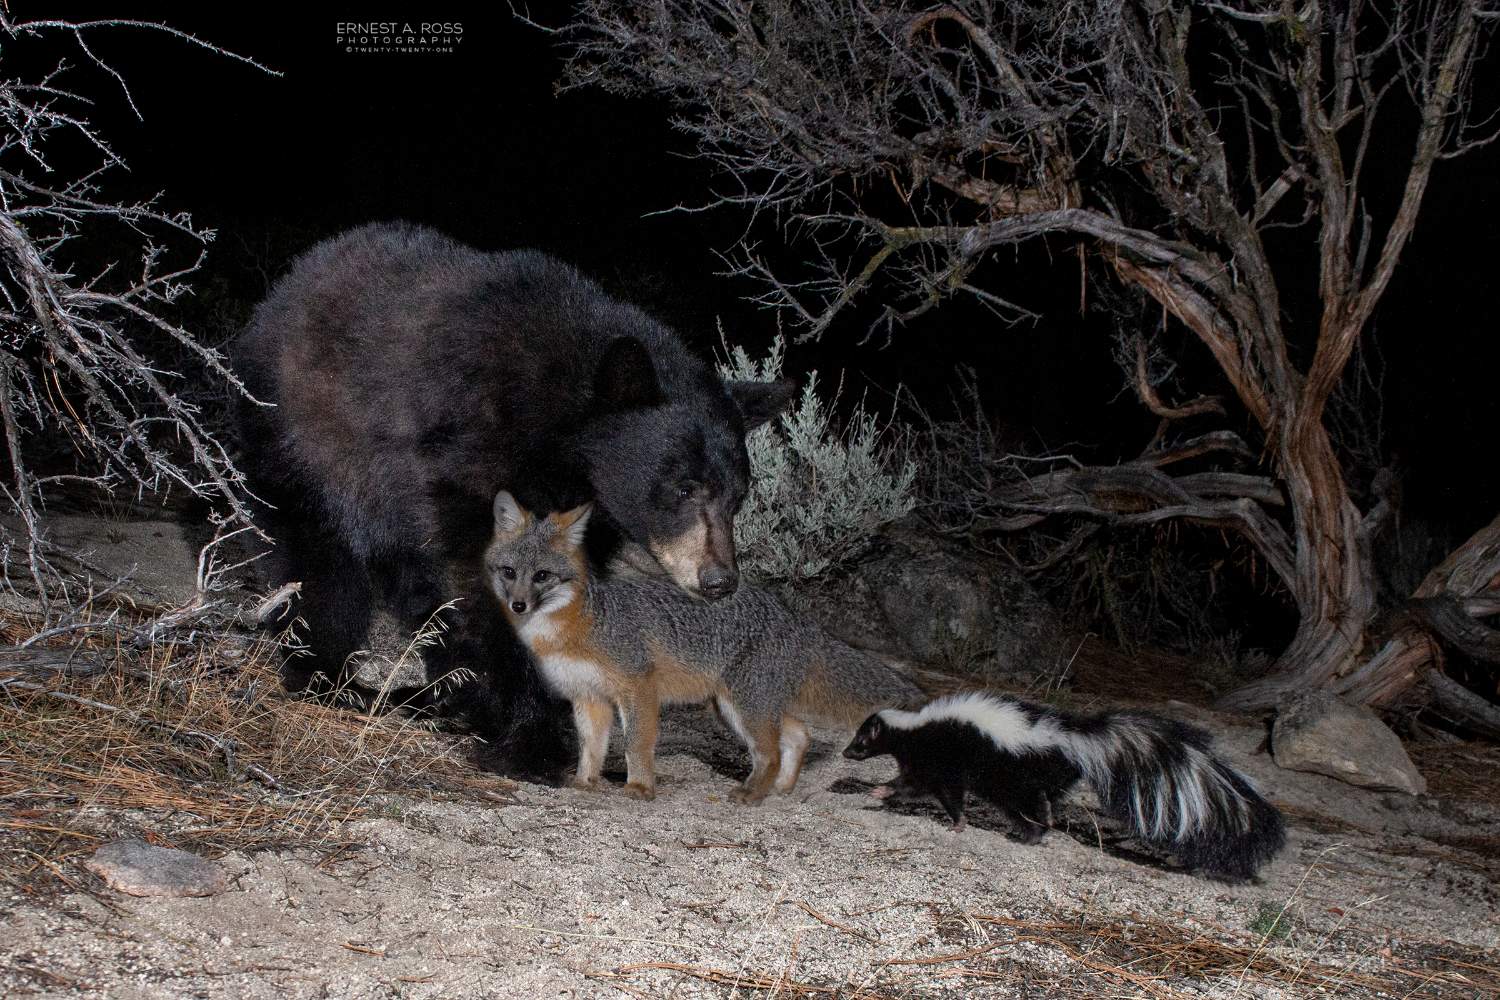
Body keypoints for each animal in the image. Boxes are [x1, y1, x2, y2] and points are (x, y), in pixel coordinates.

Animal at [230, 222, 793, 776]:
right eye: (683, 487)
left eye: (738, 496)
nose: (719, 579)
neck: (561, 429)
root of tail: (278, 296)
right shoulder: (466, 453)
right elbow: (484, 584)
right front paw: (533, 742)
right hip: (300, 450)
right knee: (321, 571)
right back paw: (332, 680)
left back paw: (445, 696)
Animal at [484, 490, 926, 803]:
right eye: (509, 572)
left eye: (542, 576)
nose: (518, 605)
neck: (570, 630)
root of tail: (795, 617)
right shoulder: (589, 697)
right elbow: (591, 749)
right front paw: (584, 783)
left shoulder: (638, 688)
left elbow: (636, 745)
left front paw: (640, 789)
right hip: (732, 708)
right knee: (798, 735)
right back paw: (779, 790)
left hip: (743, 705)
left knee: (771, 751)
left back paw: (751, 794)